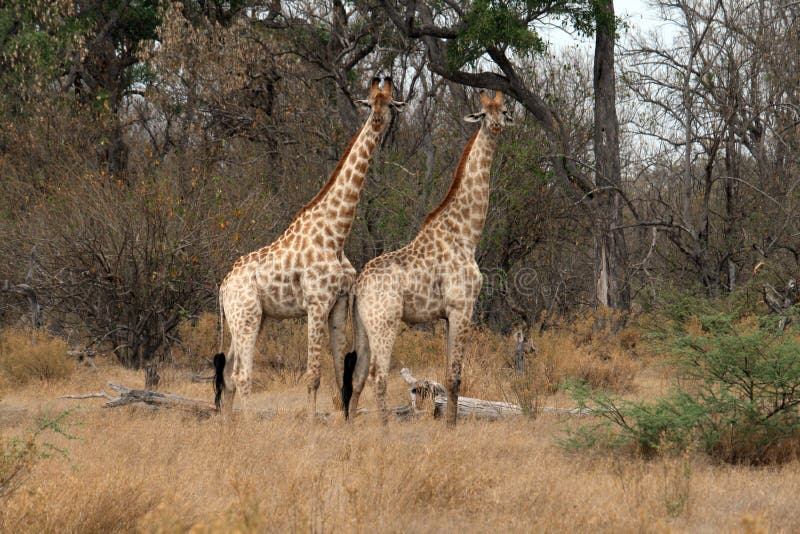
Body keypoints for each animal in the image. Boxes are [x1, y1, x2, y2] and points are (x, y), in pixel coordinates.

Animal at [214, 77, 404, 418]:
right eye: (370, 103)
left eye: (391, 105)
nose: (377, 121)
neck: (336, 235)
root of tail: (223, 286)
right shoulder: (316, 303)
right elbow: (313, 375)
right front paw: (312, 424)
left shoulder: (338, 305)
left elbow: (340, 371)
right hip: (246, 315)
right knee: (242, 373)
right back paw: (246, 424)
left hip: (250, 318)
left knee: (227, 374)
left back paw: (227, 426)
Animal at [338, 90, 512, 424]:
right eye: (484, 114)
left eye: (505, 110)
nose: (497, 126)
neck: (466, 233)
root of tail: (358, 286)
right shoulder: (462, 307)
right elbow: (455, 376)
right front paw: (451, 427)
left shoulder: (446, 315)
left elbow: (448, 375)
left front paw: (448, 422)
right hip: (385, 323)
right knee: (379, 375)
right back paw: (384, 429)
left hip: (363, 326)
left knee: (358, 375)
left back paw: (352, 426)